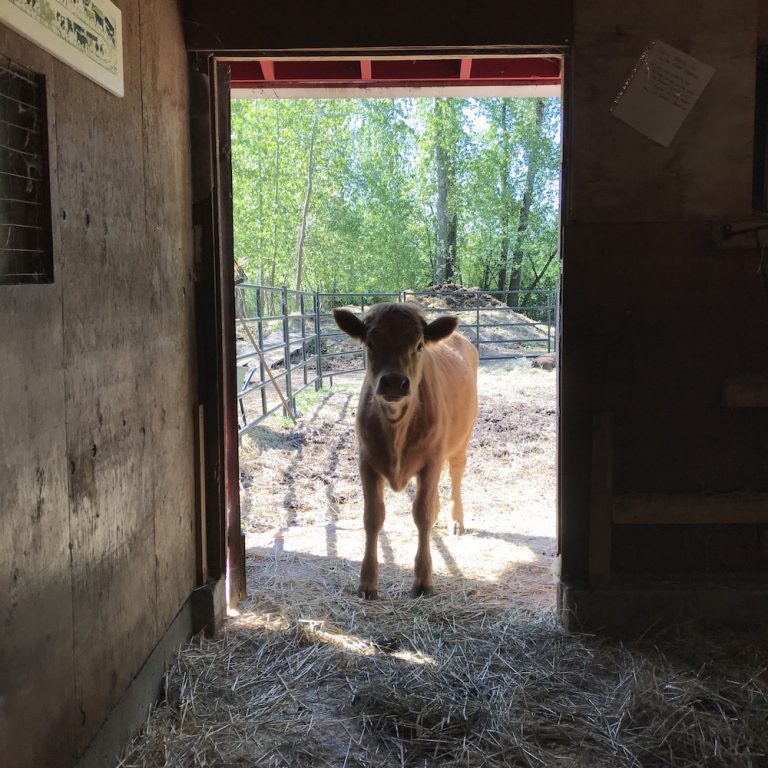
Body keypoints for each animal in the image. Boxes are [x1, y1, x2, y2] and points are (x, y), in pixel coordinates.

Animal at [333, 302, 478, 599]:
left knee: (456, 475)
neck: (396, 427)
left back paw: (456, 520)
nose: (393, 382)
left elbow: (421, 514)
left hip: (462, 439)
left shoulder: (431, 459)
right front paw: (367, 582)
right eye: (370, 343)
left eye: (419, 345)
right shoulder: (366, 461)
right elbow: (372, 517)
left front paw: (423, 580)